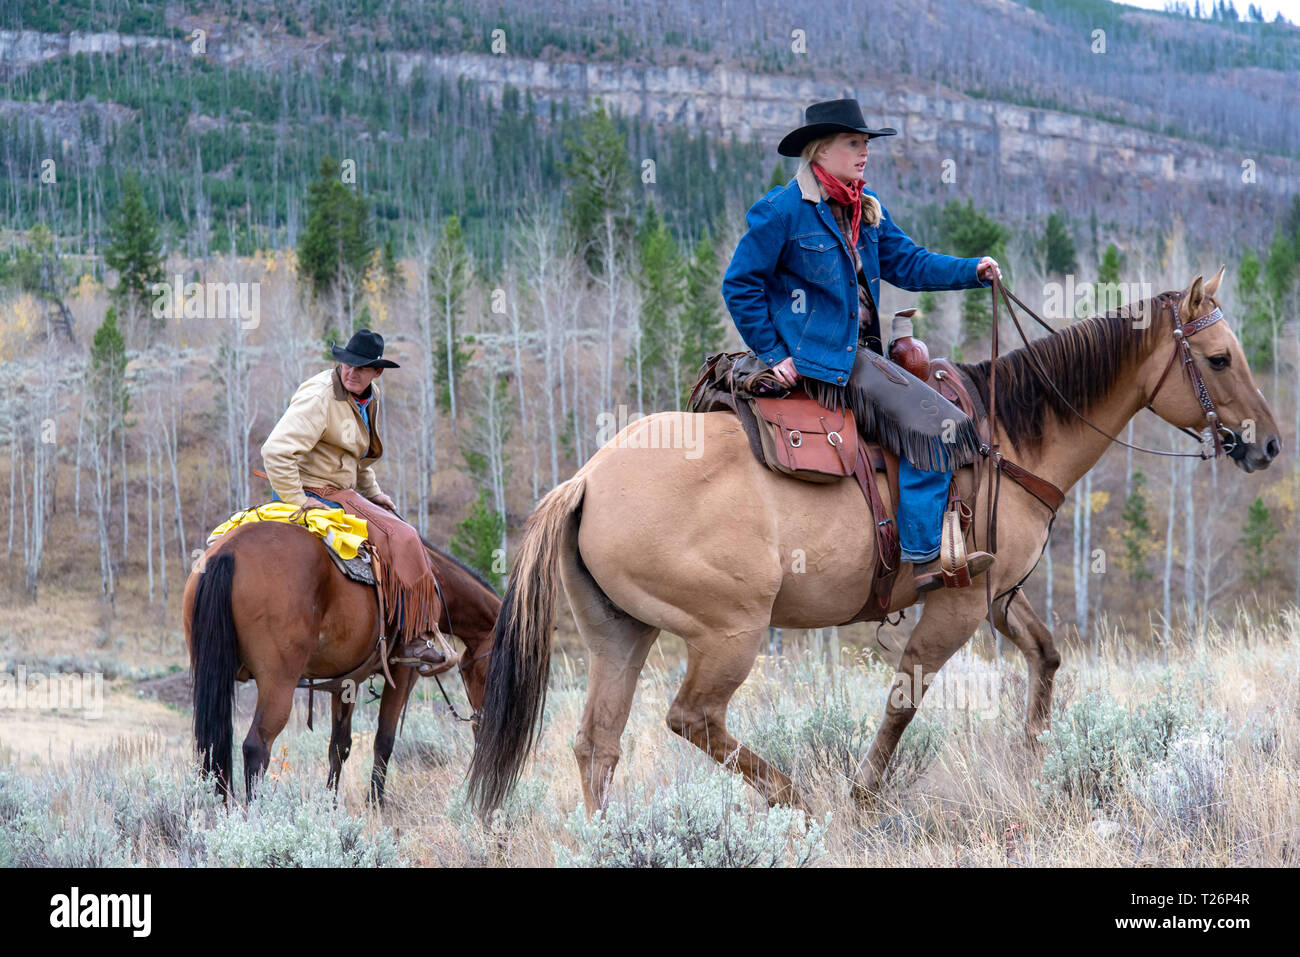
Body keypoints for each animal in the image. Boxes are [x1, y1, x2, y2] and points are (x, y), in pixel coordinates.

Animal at [183, 522, 500, 804]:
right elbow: (384, 740)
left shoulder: (347, 680)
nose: (485, 723)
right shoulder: (402, 673)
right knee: (255, 747)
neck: (433, 583)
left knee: (211, 748)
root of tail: (230, 551)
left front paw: (331, 803)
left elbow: (339, 746)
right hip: (278, 684)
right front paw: (375, 803)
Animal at [465, 269, 1281, 816]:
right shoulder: (955, 606)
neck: (1008, 437)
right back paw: (799, 798)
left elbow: (1046, 656)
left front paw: (1032, 756)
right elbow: (902, 699)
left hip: (619, 632)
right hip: (730, 630)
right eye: (1218, 358)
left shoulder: (994, 596)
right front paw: (862, 794)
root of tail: (585, 480)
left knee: (596, 744)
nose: (1268, 443)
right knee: (692, 717)